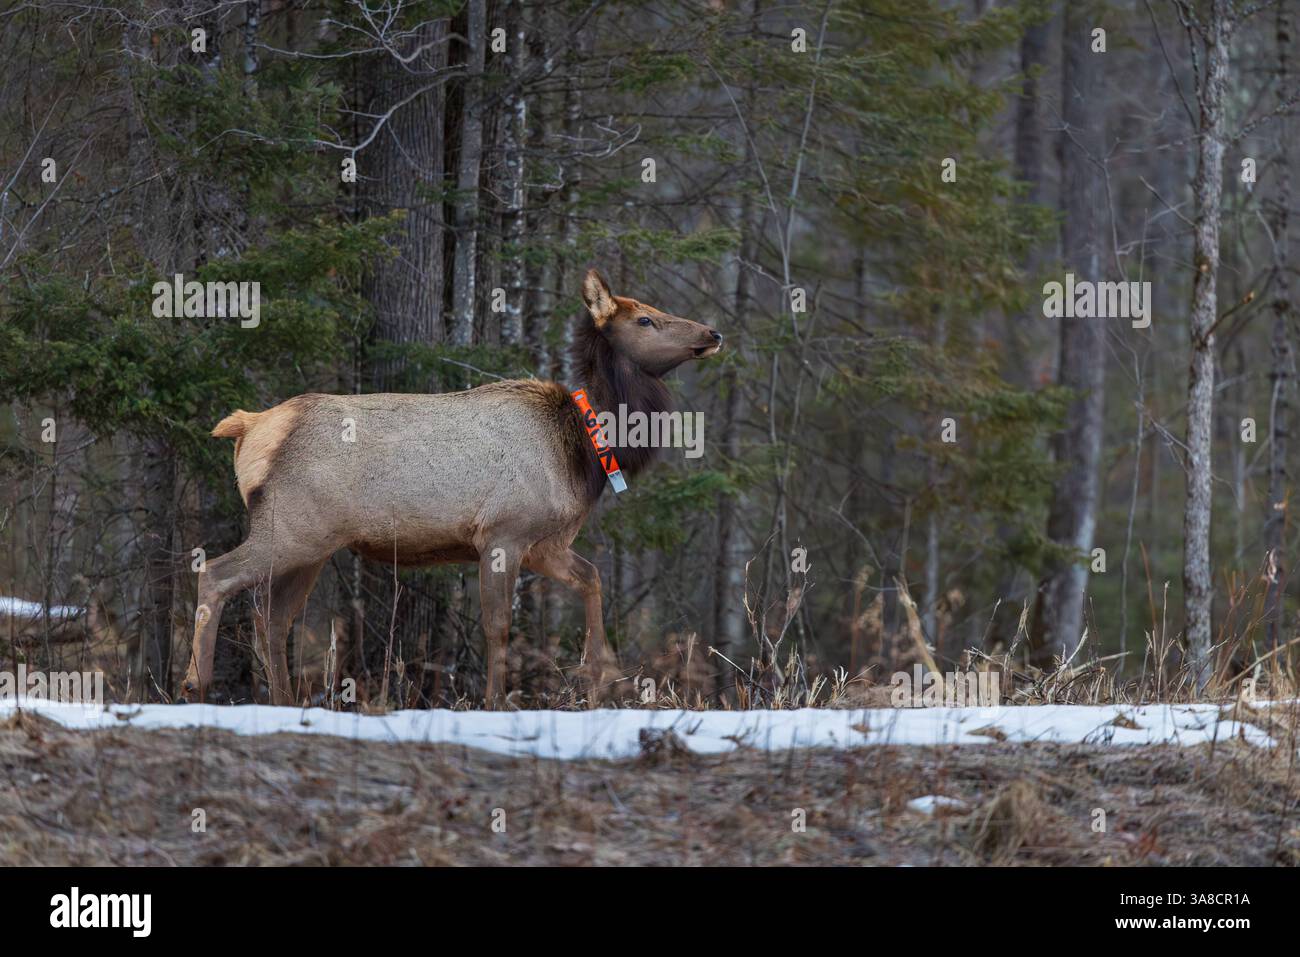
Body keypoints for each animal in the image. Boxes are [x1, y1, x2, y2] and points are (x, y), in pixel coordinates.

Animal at [180, 268, 723, 708]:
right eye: (645, 320)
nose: (713, 332)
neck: (585, 454)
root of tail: (248, 428)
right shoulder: (505, 532)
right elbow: (498, 626)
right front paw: (496, 702)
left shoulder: (543, 543)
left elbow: (591, 578)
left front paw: (599, 676)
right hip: (292, 527)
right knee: (217, 574)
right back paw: (195, 684)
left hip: (312, 544)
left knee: (273, 619)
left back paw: (284, 700)